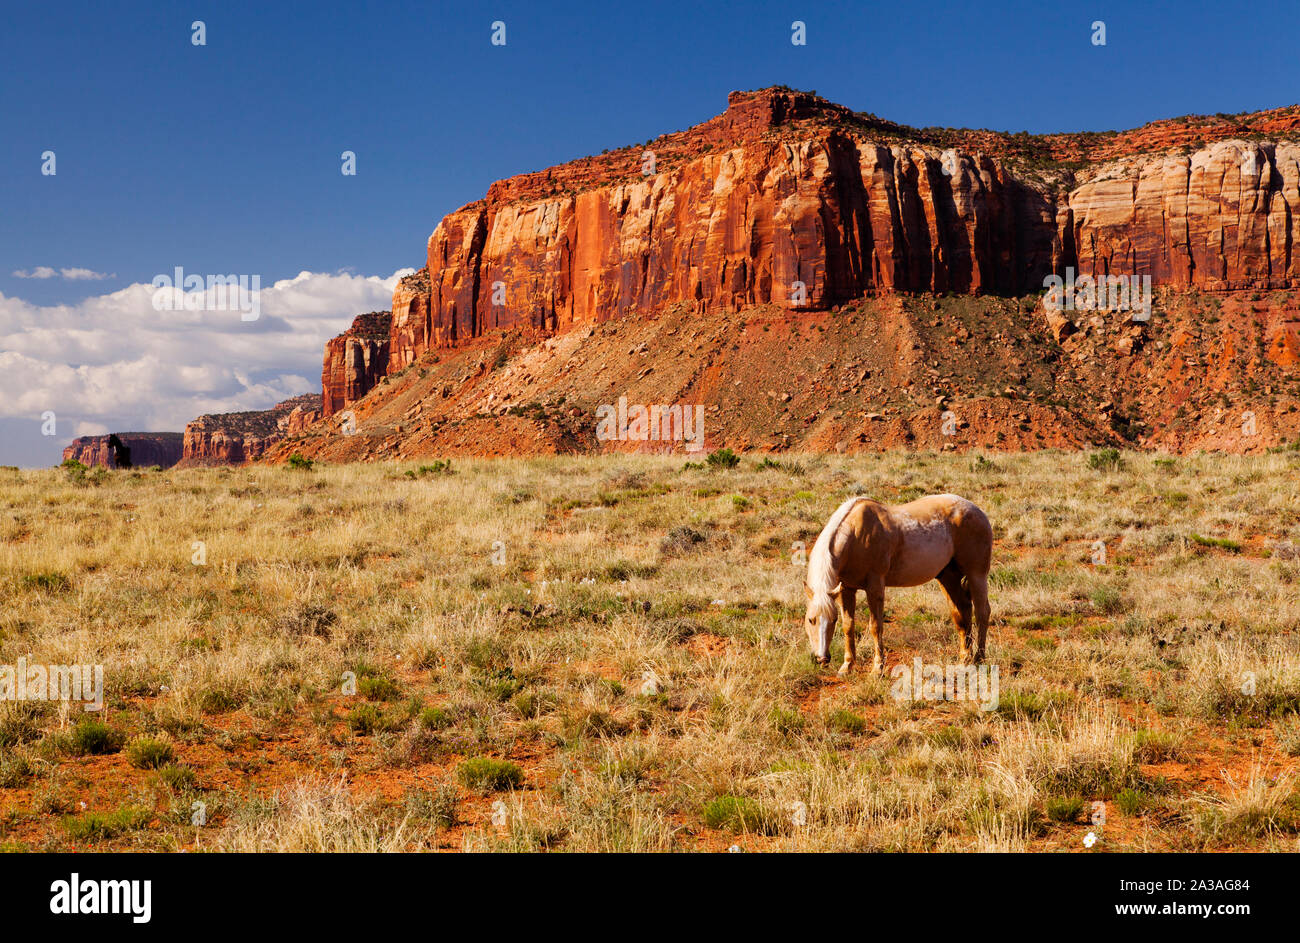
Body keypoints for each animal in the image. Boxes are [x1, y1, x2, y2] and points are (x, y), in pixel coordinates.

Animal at [803, 494, 993, 676]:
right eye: (811, 620)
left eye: (832, 619)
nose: (822, 658)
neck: (856, 537)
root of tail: (978, 512)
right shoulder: (847, 589)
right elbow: (848, 626)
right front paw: (847, 666)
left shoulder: (875, 587)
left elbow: (875, 626)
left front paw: (877, 668)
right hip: (948, 577)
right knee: (962, 612)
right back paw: (964, 660)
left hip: (977, 575)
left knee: (982, 613)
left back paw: (979, 658)